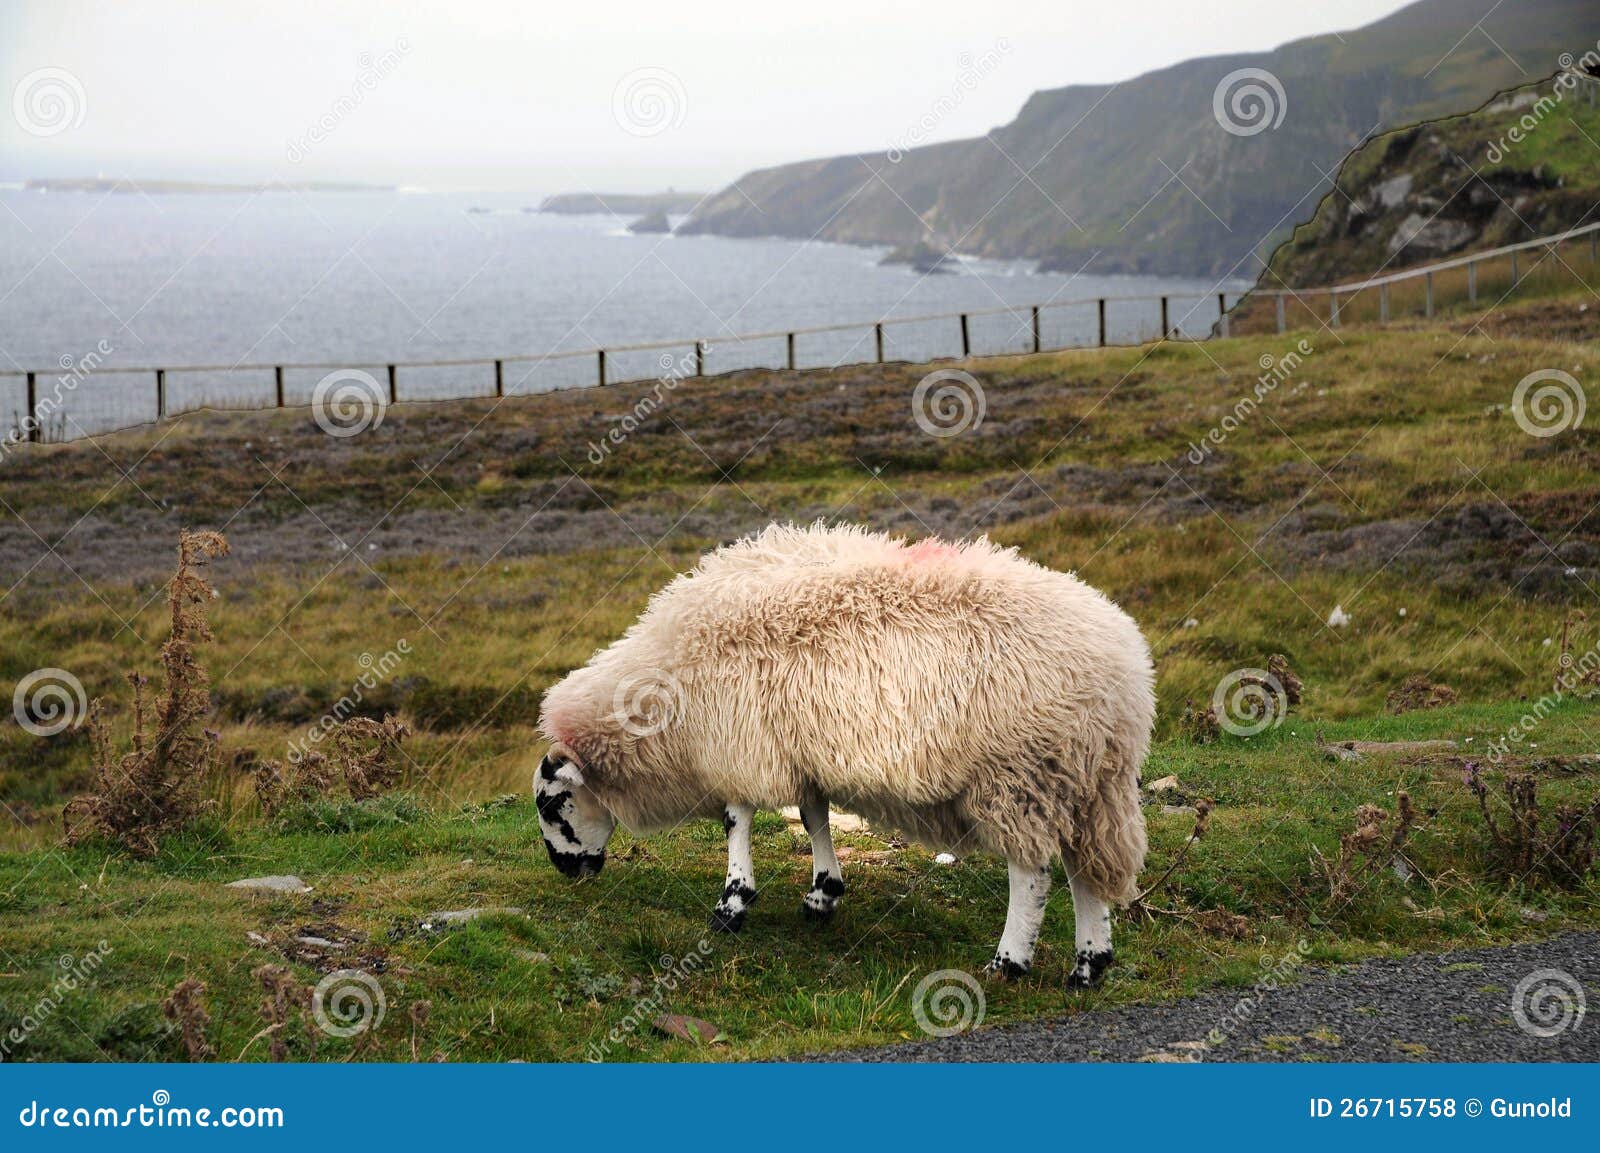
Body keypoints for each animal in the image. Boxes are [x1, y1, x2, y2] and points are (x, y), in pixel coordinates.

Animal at [535, 522, 1154, 987]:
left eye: (552, 806)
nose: (566, 872)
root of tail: (1125, 674)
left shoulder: (742, 742)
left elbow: (737, 819)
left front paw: (733, 904)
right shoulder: (795, 748)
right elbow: (813, 815)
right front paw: (822, 893)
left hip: (1020, 776)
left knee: (1033, 874)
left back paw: (1009, 961)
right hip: (1083, 780)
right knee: (1086, 868)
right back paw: (1088, 965)